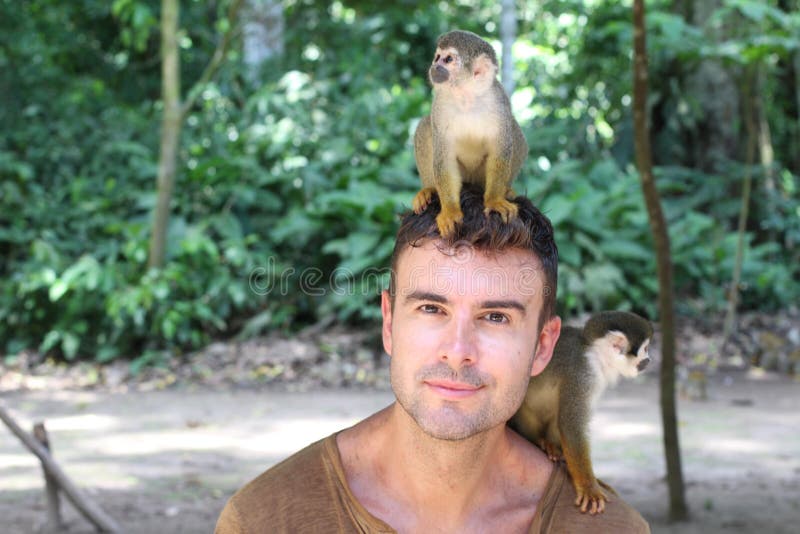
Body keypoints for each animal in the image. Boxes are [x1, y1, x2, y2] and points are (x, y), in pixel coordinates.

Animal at [413, 30, 528, 238]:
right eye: (437, 57)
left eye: (448, 59)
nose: (434, 66)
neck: (467, 97)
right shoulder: (439, 106)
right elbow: (444, 160)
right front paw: (450, 211)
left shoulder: (500, 102)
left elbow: (501, 151)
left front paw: (494, 200)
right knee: (426, 126)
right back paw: (429, 189)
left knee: (514, 131)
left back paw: (506, 190)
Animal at [509, 311, 654, 515]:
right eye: (645, 349)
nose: (649, 360)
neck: (595, 355)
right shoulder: (583, 373)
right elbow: (571, 426)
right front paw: (589, 487)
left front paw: (591, 479)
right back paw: (537, 441)